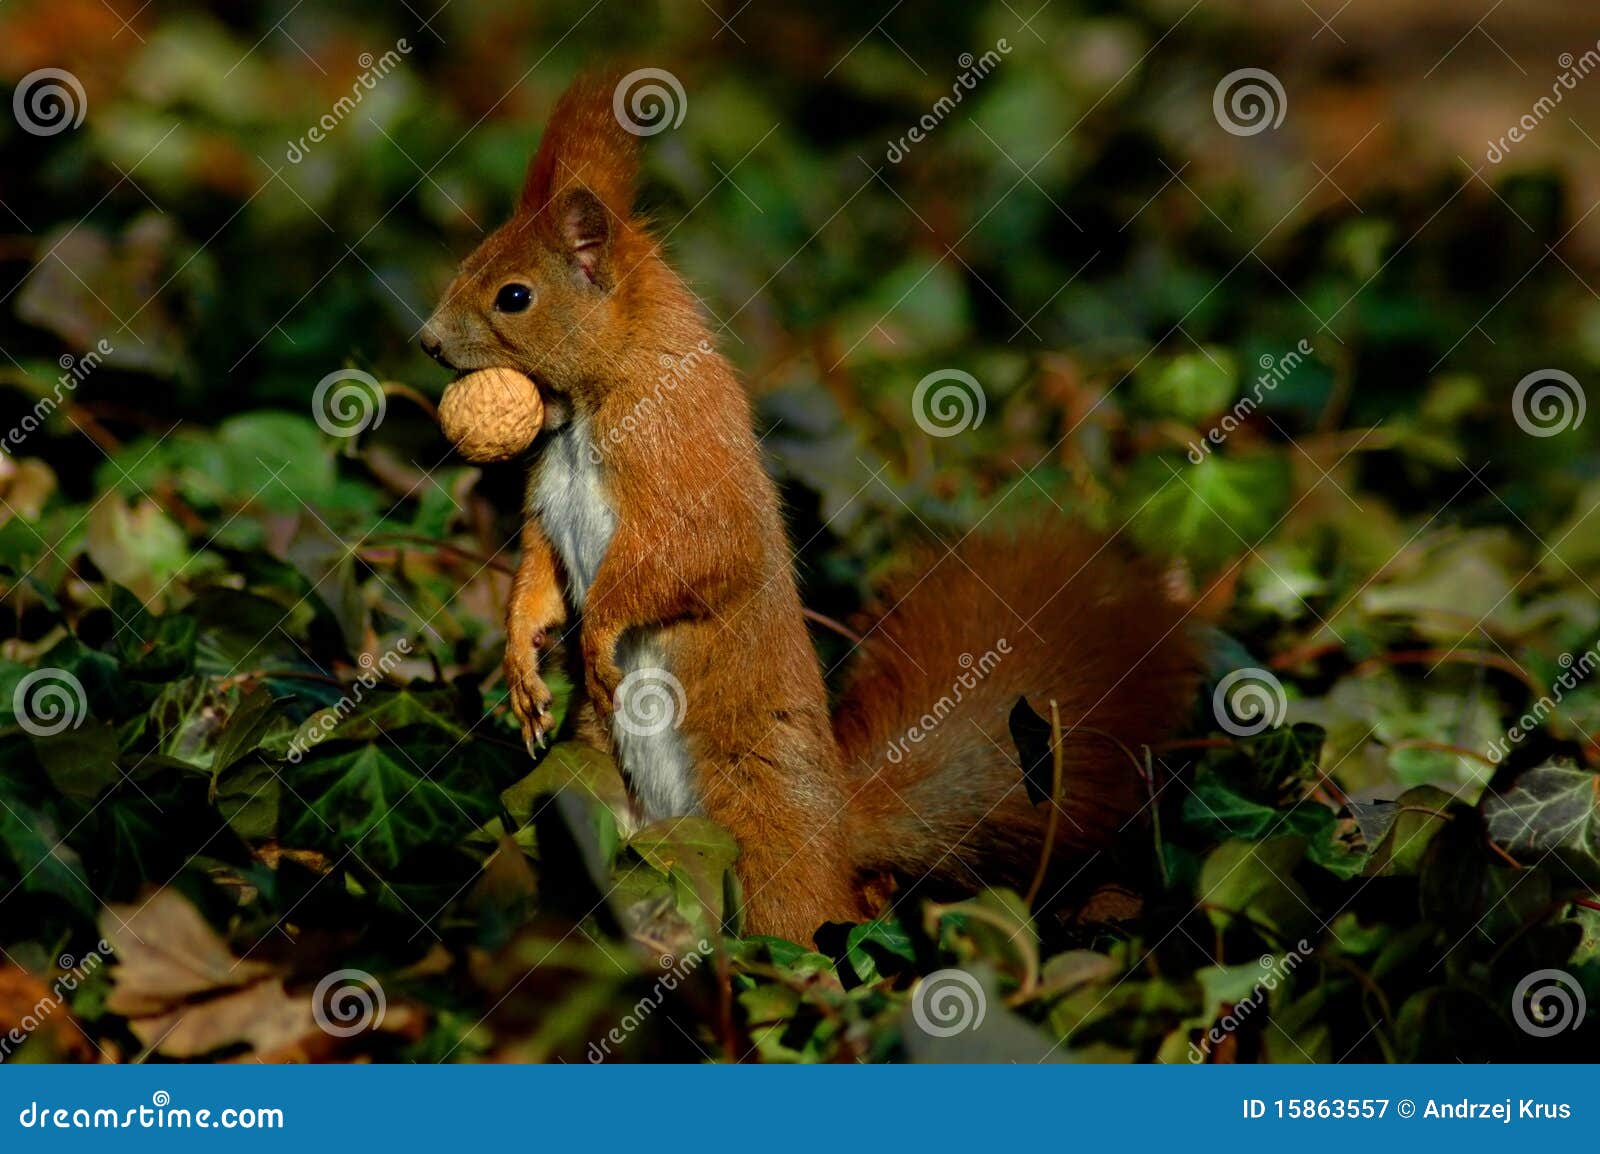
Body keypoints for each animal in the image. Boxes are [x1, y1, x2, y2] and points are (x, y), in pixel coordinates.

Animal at [420, 74, 1199, 944]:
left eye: (514, 296)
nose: (427, 341)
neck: (590, 405)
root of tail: (839, 832)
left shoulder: (683, 468)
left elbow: (689, 560)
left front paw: (595, 638)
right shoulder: (549, 508)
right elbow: (539, 574)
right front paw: (521, 663)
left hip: (763, 831)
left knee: (802, 923)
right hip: (587, 787)